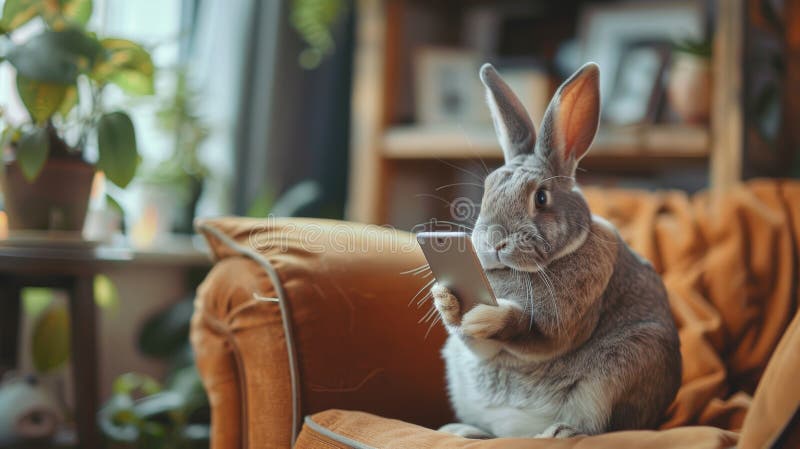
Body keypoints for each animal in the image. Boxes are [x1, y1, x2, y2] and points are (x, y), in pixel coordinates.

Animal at [431, 62, 681, 439]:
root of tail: (516, 433)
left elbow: (527, 329)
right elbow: (474, 340)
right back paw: (461, 430)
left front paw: (488, 316)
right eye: (487, 189)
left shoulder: (560, 324)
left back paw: (560, 433)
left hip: (630, 360)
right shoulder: (477, 348)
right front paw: (445, 298)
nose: (494, 241)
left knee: (607, 428)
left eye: (541, 198)